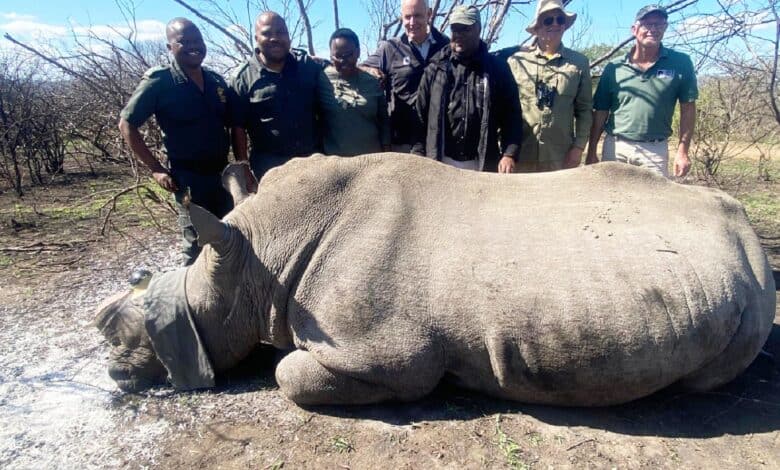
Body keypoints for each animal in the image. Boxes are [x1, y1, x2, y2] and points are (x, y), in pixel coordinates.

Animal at [94, 154, 776, 406]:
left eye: (145, 329)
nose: (113, 368)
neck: (259, 255)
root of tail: (746, 228)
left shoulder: (391, 358)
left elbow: (290, 376)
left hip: (750, 293)